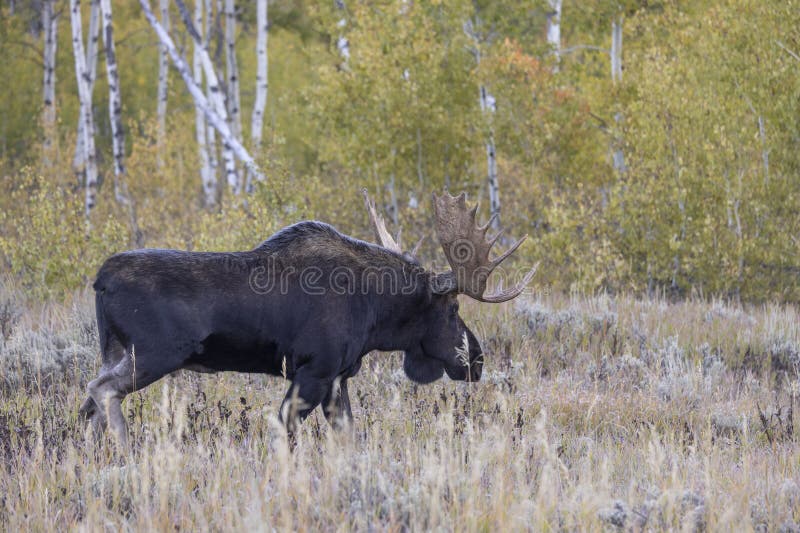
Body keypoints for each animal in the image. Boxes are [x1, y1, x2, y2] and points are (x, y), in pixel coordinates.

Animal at [79, 190, 537, 447]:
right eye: (453, 310)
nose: (476, 360)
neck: (375, 313)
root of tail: (100, 280)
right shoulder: (313, 371)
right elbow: (284, 435)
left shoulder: (337, 379)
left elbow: (348, 438)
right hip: (152, 354)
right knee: (101, 391)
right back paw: (126, 450)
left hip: (115, 351)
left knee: (88, 405)